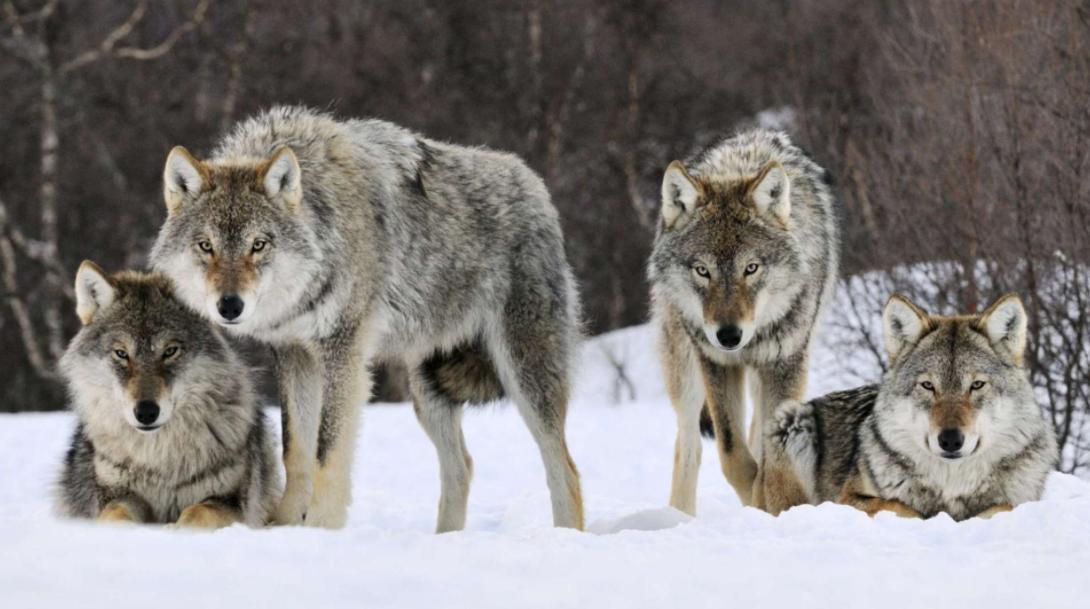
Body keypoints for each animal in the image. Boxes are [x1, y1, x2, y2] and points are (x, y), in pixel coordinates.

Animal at [56, 262, 280, 528]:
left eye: (170, 351)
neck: (159, 460)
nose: (146, 412)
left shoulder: (231, 502)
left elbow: (197, 513)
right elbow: (115, 515)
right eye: (121, 353)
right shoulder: (117, 495)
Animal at [150, 106, 584, 531]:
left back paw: (565, 535)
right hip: (427, 390)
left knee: (565, 469)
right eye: (206, 246)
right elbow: (296, 451)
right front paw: (286, 526)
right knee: (462, 466)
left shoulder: (343, 353)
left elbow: (327, 452)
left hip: (524, 375)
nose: (230, 306)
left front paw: (321, 529)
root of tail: (534, 184)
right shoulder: (294, 355)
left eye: (258, 245)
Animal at [649, 130, 839, 515]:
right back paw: (679, 517)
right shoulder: (716, 362)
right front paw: (755, 497)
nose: (728, 335)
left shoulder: (786, 363)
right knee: (688, 445)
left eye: (751, 268)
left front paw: (770, 502)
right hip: (685, 369)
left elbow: (769, 453)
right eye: (702, 270)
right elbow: (732, 453)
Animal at [774, 293, 1057, 520]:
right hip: (793, 422)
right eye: (928, 386)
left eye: (977, 385)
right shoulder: (848, 498)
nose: (950, 440)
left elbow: (1004, 507)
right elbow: (900, 506)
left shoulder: (1021, 500)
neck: (951, 484)